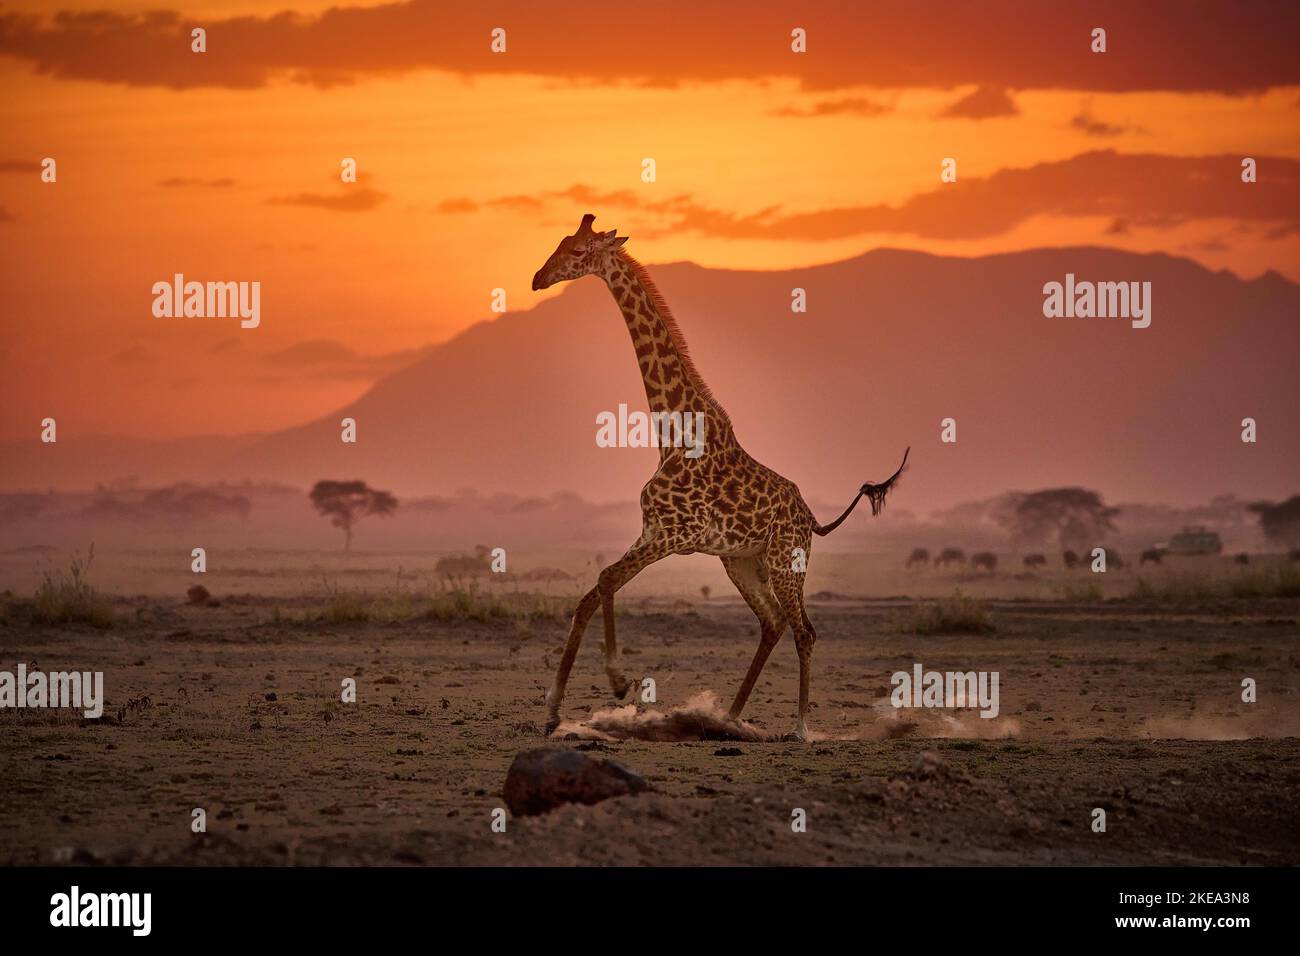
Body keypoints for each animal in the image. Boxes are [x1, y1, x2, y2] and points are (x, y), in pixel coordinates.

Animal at [531, 214, 908, 740]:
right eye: (562, 242)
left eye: (580, 251)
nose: (537, 278)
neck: (672, 434)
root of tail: (812, 520)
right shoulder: (653, 531)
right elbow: (592, 594)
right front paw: (552, 711)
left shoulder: (672, 535)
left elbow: (603, 583)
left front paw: (620, 681)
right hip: (742, 562)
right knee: (773, 622)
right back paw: (730, 716)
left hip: (786, 561)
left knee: (805, 630)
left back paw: (800, 727)